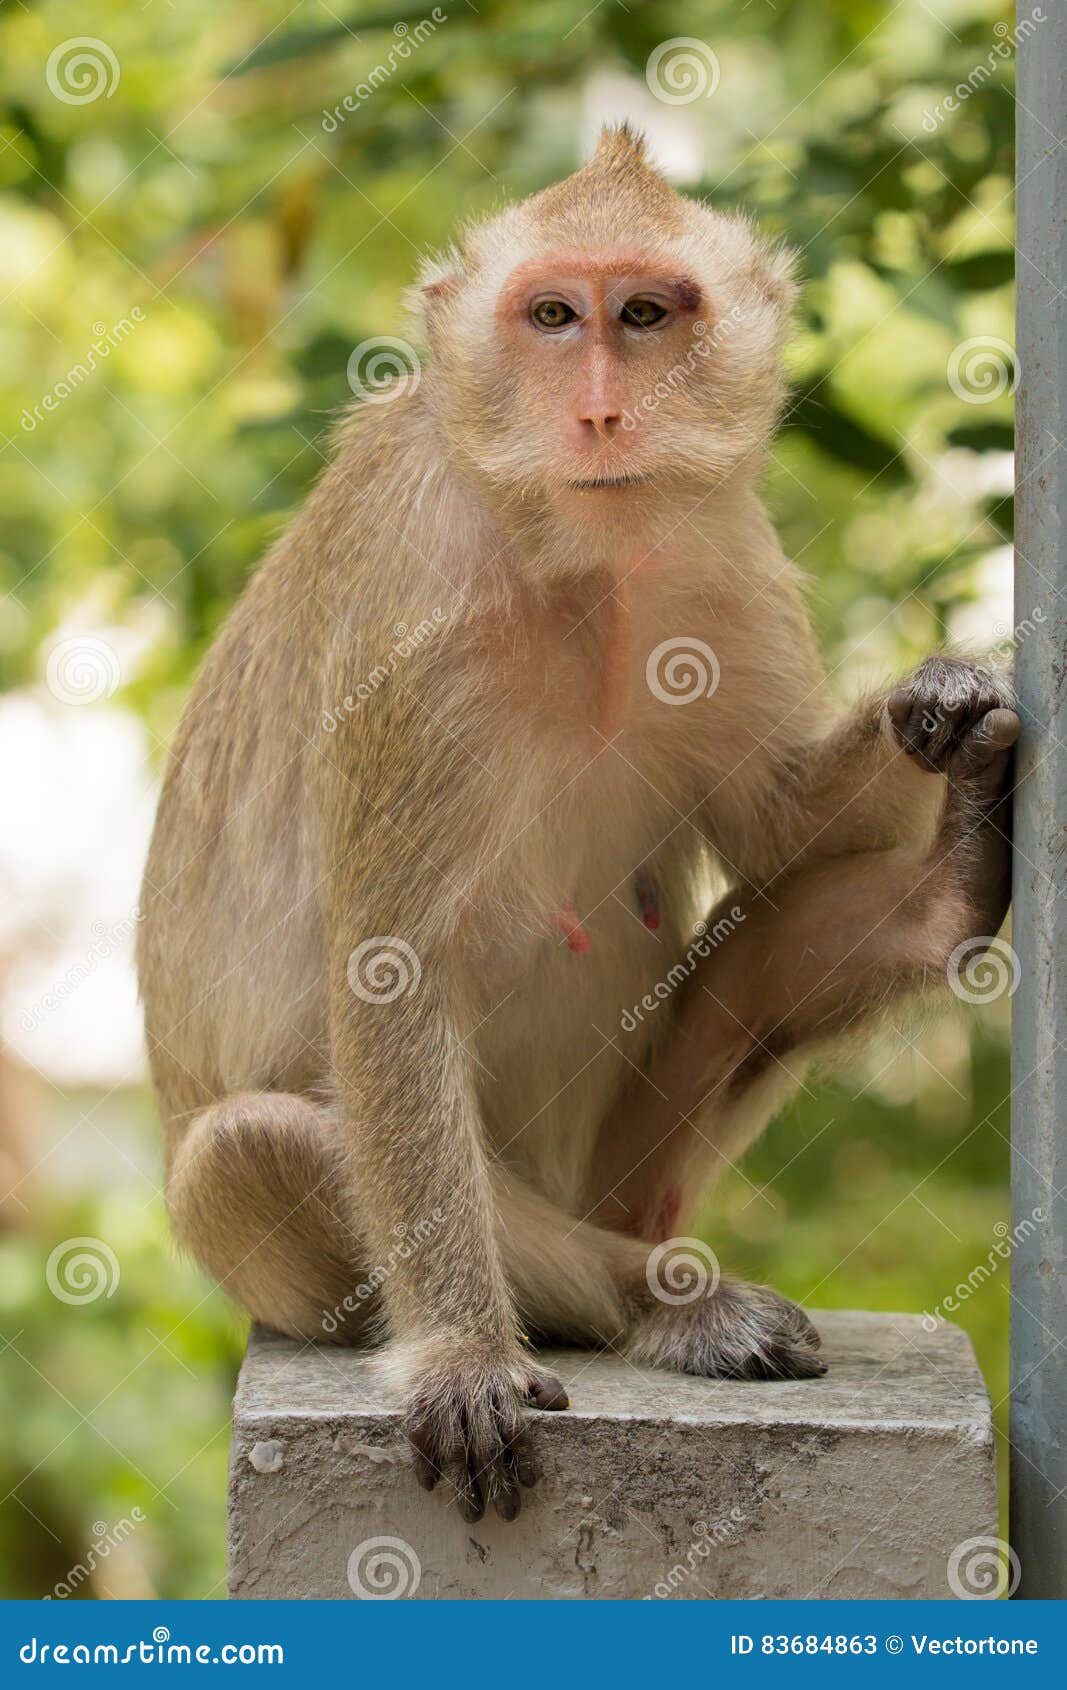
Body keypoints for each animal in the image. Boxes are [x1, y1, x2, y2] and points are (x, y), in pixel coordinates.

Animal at [137, 126, 1019, 1526]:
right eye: (552, 315)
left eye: (645, 314)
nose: (600, 410)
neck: (580, 554)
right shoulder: (412, 610)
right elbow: (386, 971)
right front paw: (460, 1358)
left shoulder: (721, 555)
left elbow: (776, 827)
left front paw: (936, 698)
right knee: (250, 1147)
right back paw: (658, 1308)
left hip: (634, 1161)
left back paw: (947, 890)